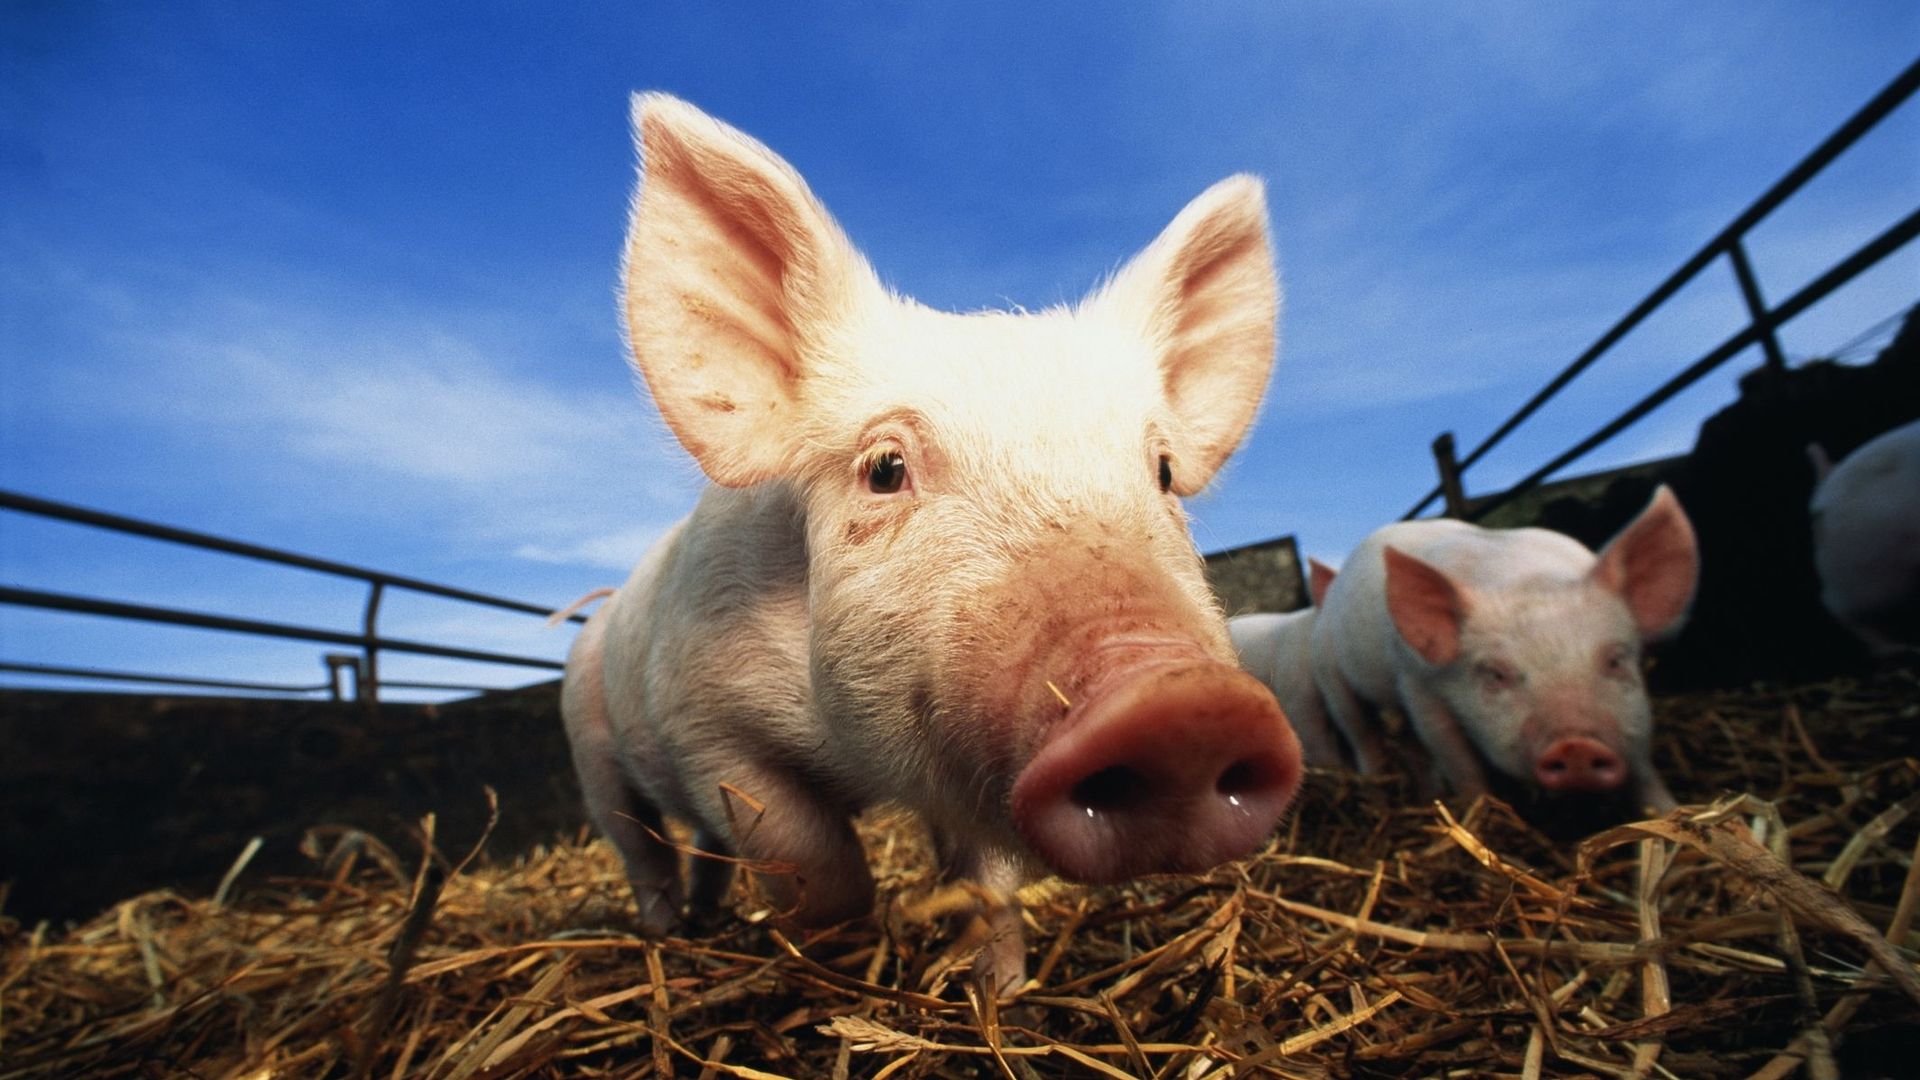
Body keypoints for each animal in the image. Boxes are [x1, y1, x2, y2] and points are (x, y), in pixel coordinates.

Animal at [561, 93, 1302, 994]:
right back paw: (670, 933)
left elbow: (989, 884)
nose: (1180, 699)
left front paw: (1000, 990)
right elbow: (816, 862)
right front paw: (839, 944)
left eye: (1161, 471)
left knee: (700, 848)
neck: (859, 767)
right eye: (885, 468)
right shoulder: (702, 717)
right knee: (642, 848)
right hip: (590, 747)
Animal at [1309, 488, 1698, 812]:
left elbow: (1642, 764)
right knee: (1363, 738)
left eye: (1615, 660)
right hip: (1331, 675)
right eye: (1496, 674)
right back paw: (1379, 799)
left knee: (1409, 746)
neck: (1525, 579)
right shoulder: (1416, 683)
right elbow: (1459, 762)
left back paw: (1427, 798)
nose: (1577, 745)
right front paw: (1480, 817)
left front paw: (1670, 813)